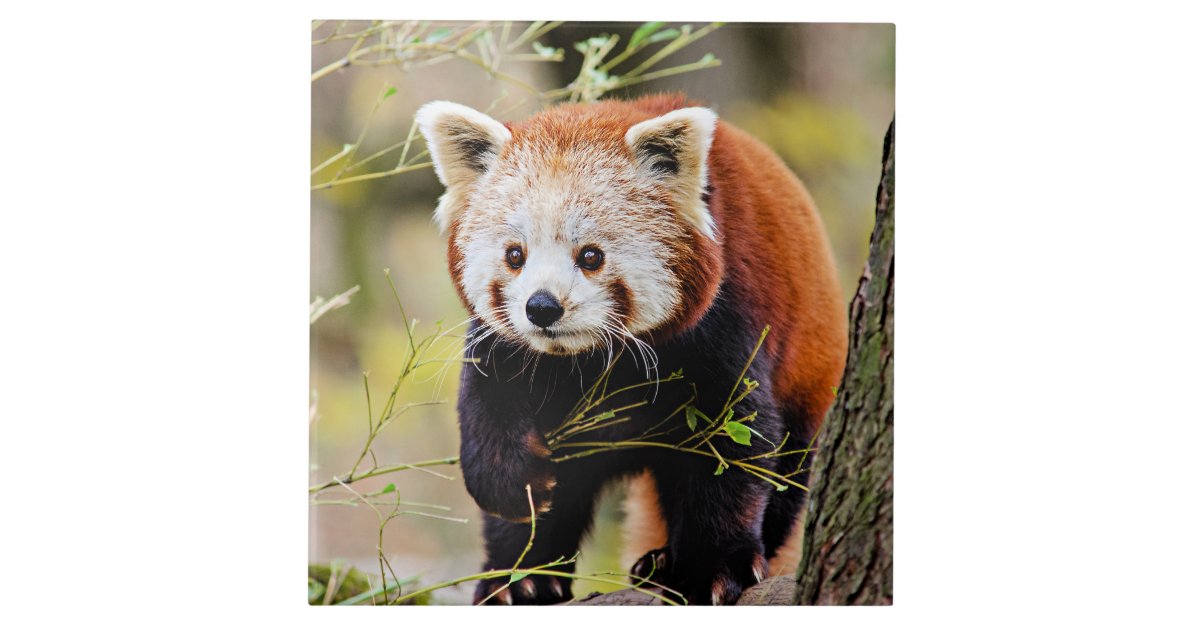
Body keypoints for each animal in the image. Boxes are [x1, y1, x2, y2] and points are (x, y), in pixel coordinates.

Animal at [416, 93, 847, 605]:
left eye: (591, 256)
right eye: (514, 255)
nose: (541, 307)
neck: (592, 359)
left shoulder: (726, 320)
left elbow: (736, 442)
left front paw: (710, 567)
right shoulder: (506, 347)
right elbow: (490, 413)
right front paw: (513, 487)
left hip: (809, 368)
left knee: (788, 474)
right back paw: (522, 579)